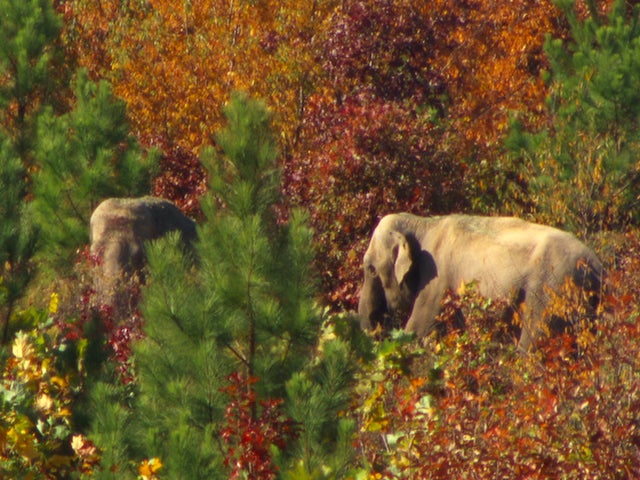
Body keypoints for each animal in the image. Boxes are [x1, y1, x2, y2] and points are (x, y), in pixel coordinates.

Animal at [357, 213, 604, 351]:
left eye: (370, 269)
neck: (423, 223)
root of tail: (596, 266)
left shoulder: (436, 281)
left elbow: (417, 332)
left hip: (550, 292)